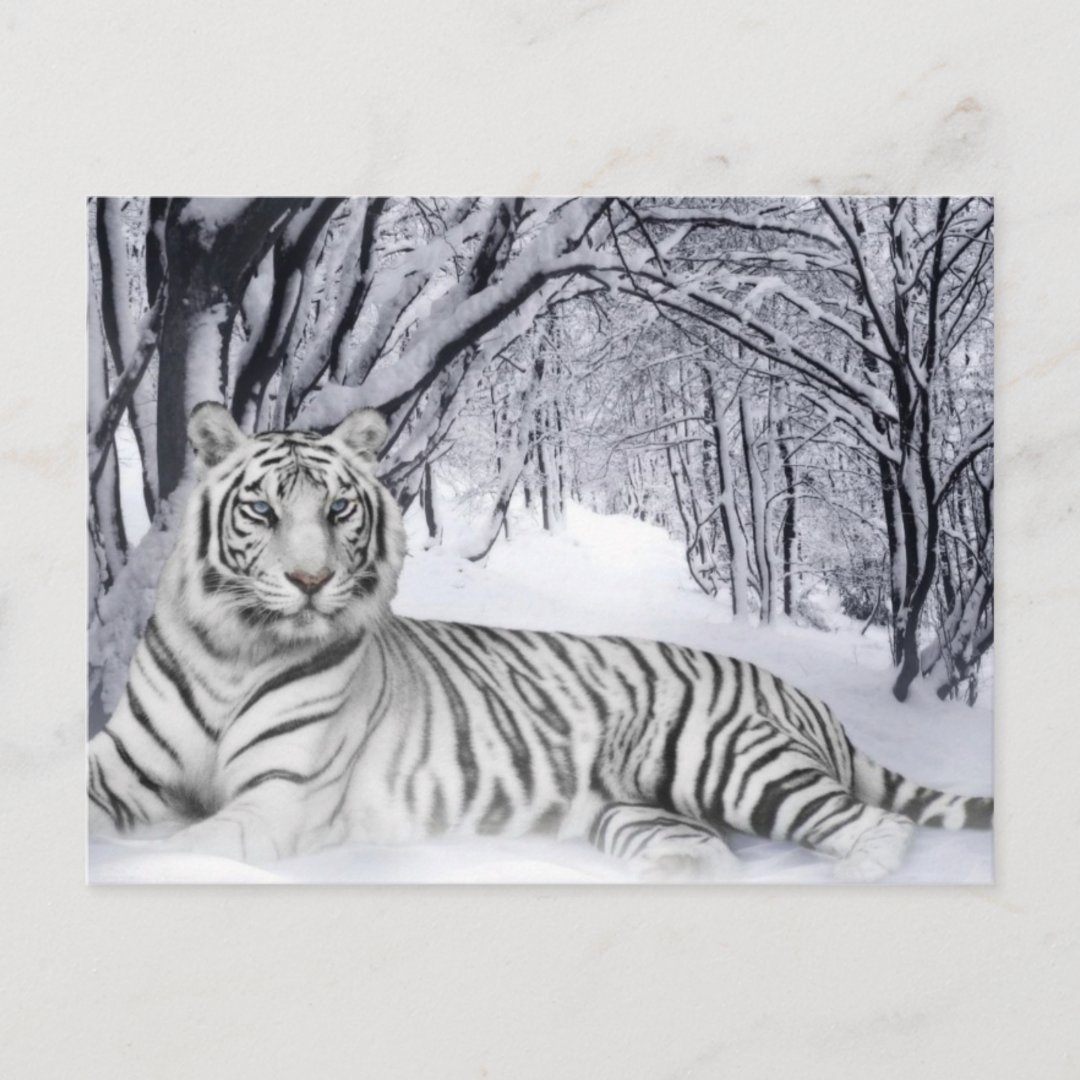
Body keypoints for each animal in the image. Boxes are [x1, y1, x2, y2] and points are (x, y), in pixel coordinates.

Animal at [87, 402, 993, 882]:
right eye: (263, 510)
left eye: (339, 509)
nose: (311, 581)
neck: (233, 650)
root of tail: (811, 700)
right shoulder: (123, 766)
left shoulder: (277, 797)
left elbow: (184, 847)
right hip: (643, 816)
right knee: (710, 855)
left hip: (730, 761)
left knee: (877, 825)